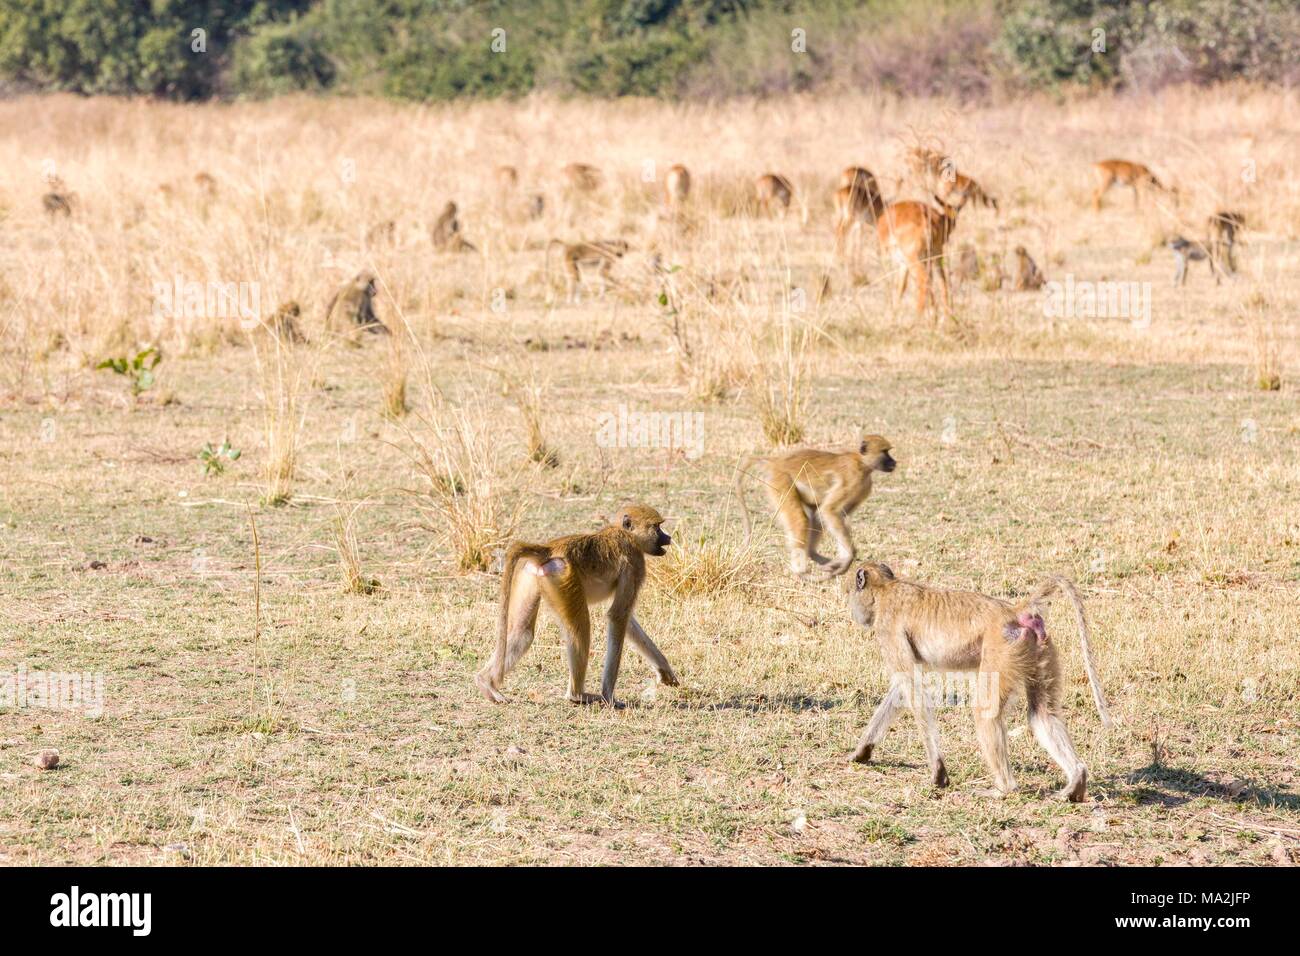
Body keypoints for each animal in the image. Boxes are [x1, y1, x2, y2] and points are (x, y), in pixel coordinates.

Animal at [474, 503, 677, 706]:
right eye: (657, 527)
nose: (668, 537)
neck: (624, 533)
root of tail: (551, 548)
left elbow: (626, 620)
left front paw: (665, 671)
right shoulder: (635, 564)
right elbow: (618, 615)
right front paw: (609, 696)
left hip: (531, 576)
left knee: (522, 632)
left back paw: (486, 683)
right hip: (564, 578)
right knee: (581, 629)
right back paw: (577, 695)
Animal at [735, 435, 896, 578]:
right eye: (885, 452)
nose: (894, 462)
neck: (862, 464)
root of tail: (775, 462)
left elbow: (832, 515)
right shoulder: (853, 478)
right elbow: (830, 511)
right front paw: (848, 557)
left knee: (815, 516)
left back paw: (813, 555)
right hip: (780, 481)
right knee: (802, 519)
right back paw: (800, 572)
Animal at [842, 562, 1112, 801]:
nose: (853, 611)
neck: (886, 589)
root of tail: (1015, 611)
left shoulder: (888, 629)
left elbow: (912, 687)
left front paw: (937, 772)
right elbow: (903, 689)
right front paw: (862, 751)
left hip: (1002, 651)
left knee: (985, 713)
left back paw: (1003, 788)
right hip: (1039, 649)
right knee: (1042, 713)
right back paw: (1077, 780)